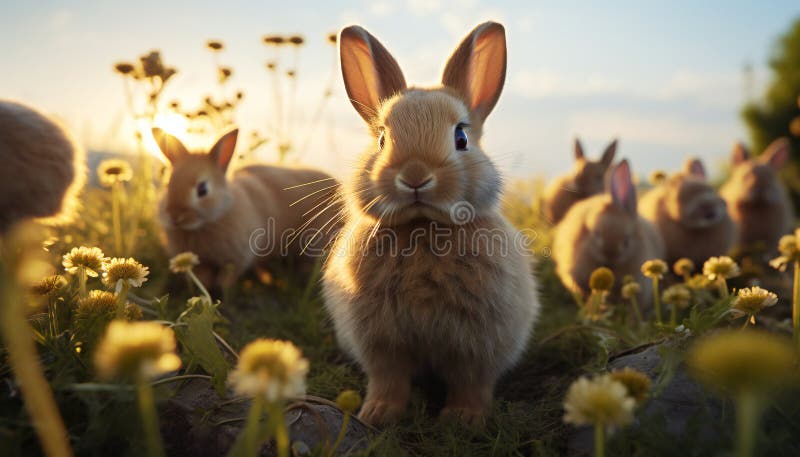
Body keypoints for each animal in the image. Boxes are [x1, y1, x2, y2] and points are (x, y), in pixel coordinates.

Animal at [152, 128, 340, 288]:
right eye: (168, 185)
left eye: (202, 189)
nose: (175, 217)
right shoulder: (202, 263)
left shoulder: (237, 258)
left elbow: (228, 278)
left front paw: (222, 290)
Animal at [322, 22, 539, 426]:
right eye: (381, 138)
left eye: (461, 137)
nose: (415, 176)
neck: (422, 227)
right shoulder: (381, 342)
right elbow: (389, 378)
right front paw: (377, 413)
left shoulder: (479, 343)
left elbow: (471, 381)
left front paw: (464, 418)